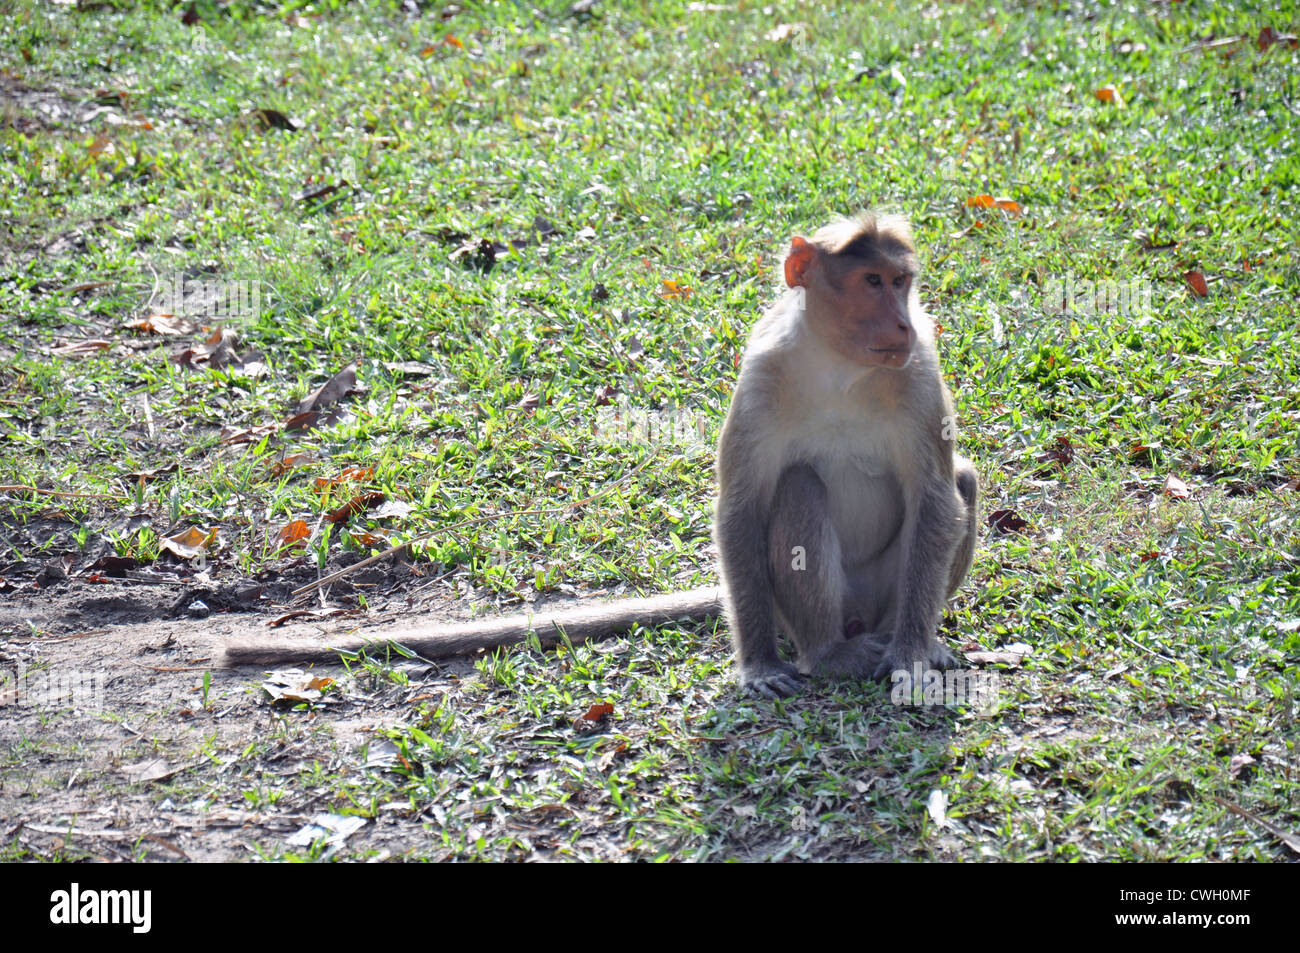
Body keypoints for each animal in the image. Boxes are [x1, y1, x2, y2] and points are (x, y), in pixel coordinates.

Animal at [222, 211, 977, 698]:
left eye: (902, 282)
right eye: (872, 282)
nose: (903, 323)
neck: (837, 367)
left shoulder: (919, 375)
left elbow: (937, 495)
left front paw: (913, 657)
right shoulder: (763, 376)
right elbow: (741, 508)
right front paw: (759, 665)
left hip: (882, 594)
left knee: (959, 482)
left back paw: (903, 639)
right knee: (799, 487)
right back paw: (829, 653)